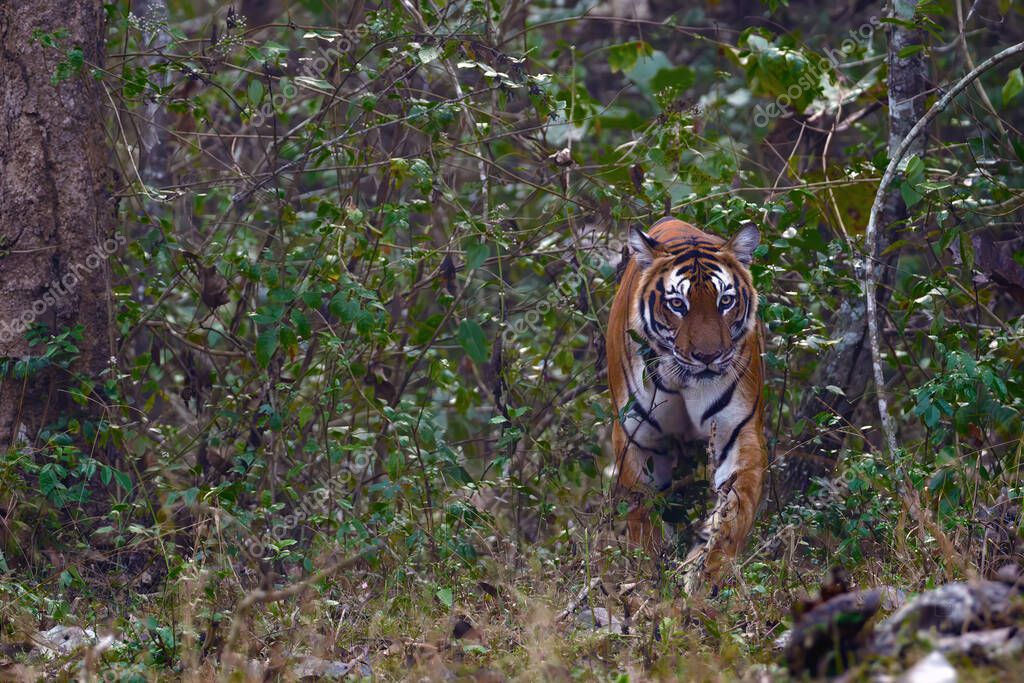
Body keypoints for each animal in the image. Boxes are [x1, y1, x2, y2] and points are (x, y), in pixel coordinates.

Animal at [606, 216, 767, 592]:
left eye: (726, 301)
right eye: (678, 304)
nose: (708, 357)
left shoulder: (739, 432)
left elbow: (731, 516)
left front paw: (704, 578)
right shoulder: (637, 439)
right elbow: (643, 519)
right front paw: (648, 579)